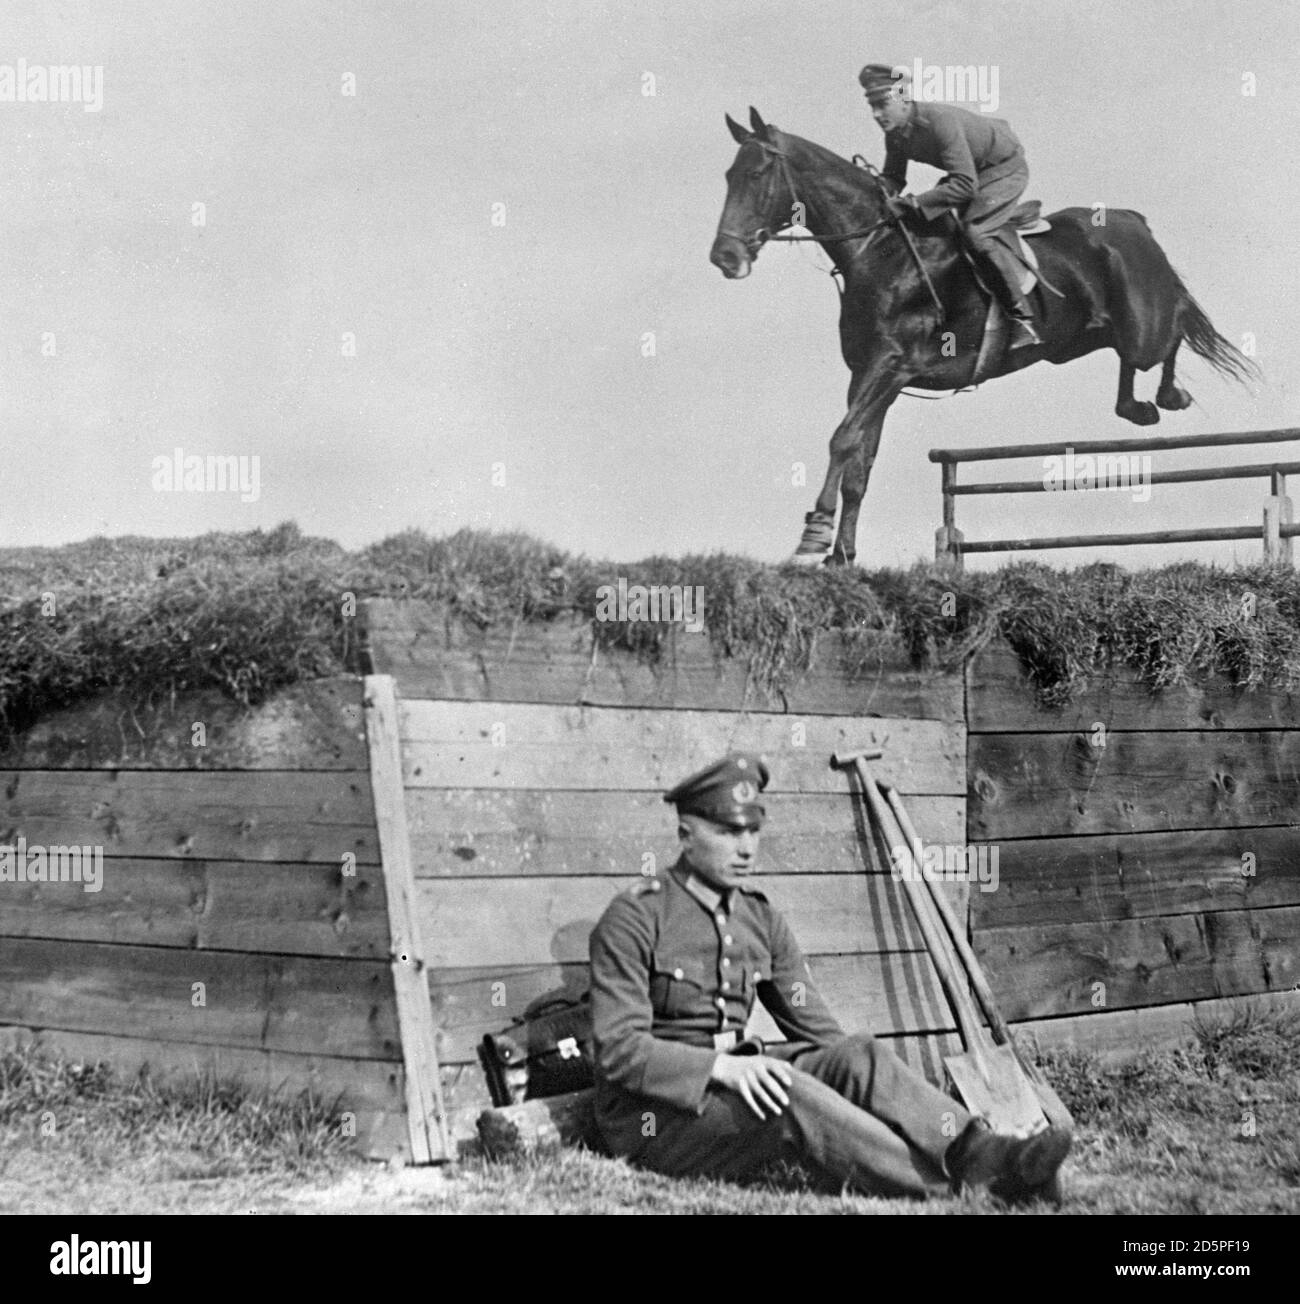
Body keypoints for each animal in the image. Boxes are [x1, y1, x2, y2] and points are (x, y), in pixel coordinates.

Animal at [709, 108, 1256, 565]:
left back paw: (1168, 396)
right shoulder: (869, 375)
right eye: (728, 176)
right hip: (1082, 339)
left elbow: (842, 440)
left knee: (1172, 330)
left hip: (1145, 324)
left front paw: (814, 535)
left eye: (756, 175)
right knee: (1131, 362)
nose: (724, 258)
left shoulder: (890, 367)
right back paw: (1138, 408)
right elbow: (860, 463)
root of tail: (1133, 222)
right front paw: (842, 556)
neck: (879, 249)